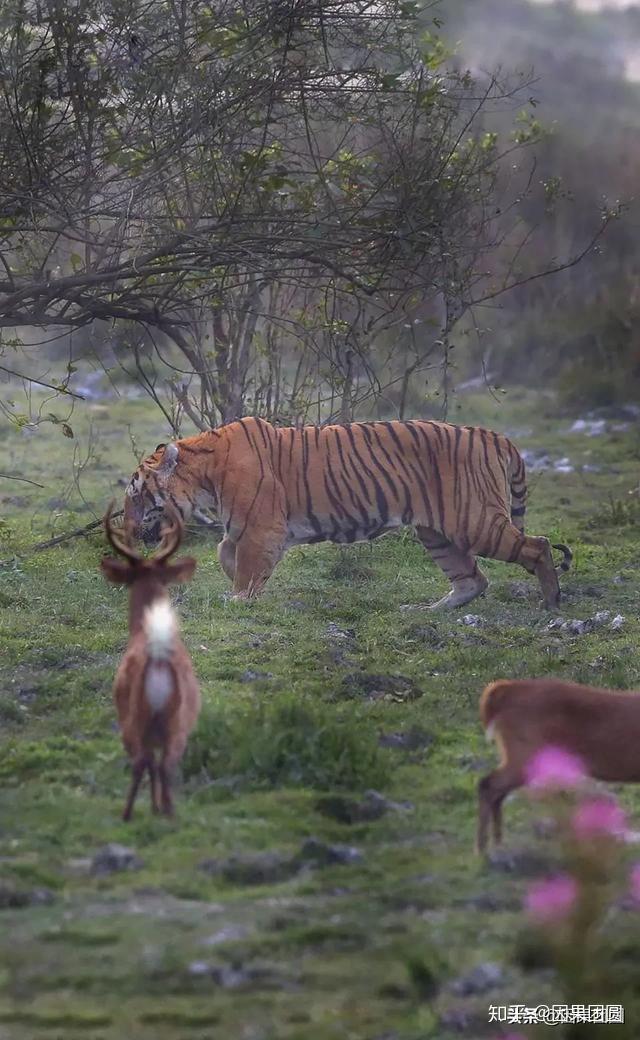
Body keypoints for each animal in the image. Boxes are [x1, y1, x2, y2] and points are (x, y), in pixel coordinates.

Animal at [123, 417, 572, 608]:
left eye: (137, 496)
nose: (125, 530)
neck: (203, 473)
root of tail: (491, 434)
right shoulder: (242, 529)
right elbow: (224, 553)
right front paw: (239, 587)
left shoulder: (261, 528)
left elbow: (247, 565)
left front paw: (239, 598)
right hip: (438, 534)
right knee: (472, 580)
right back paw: (428, 611)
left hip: (474, 520)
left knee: (538, 546)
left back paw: (552, 602)